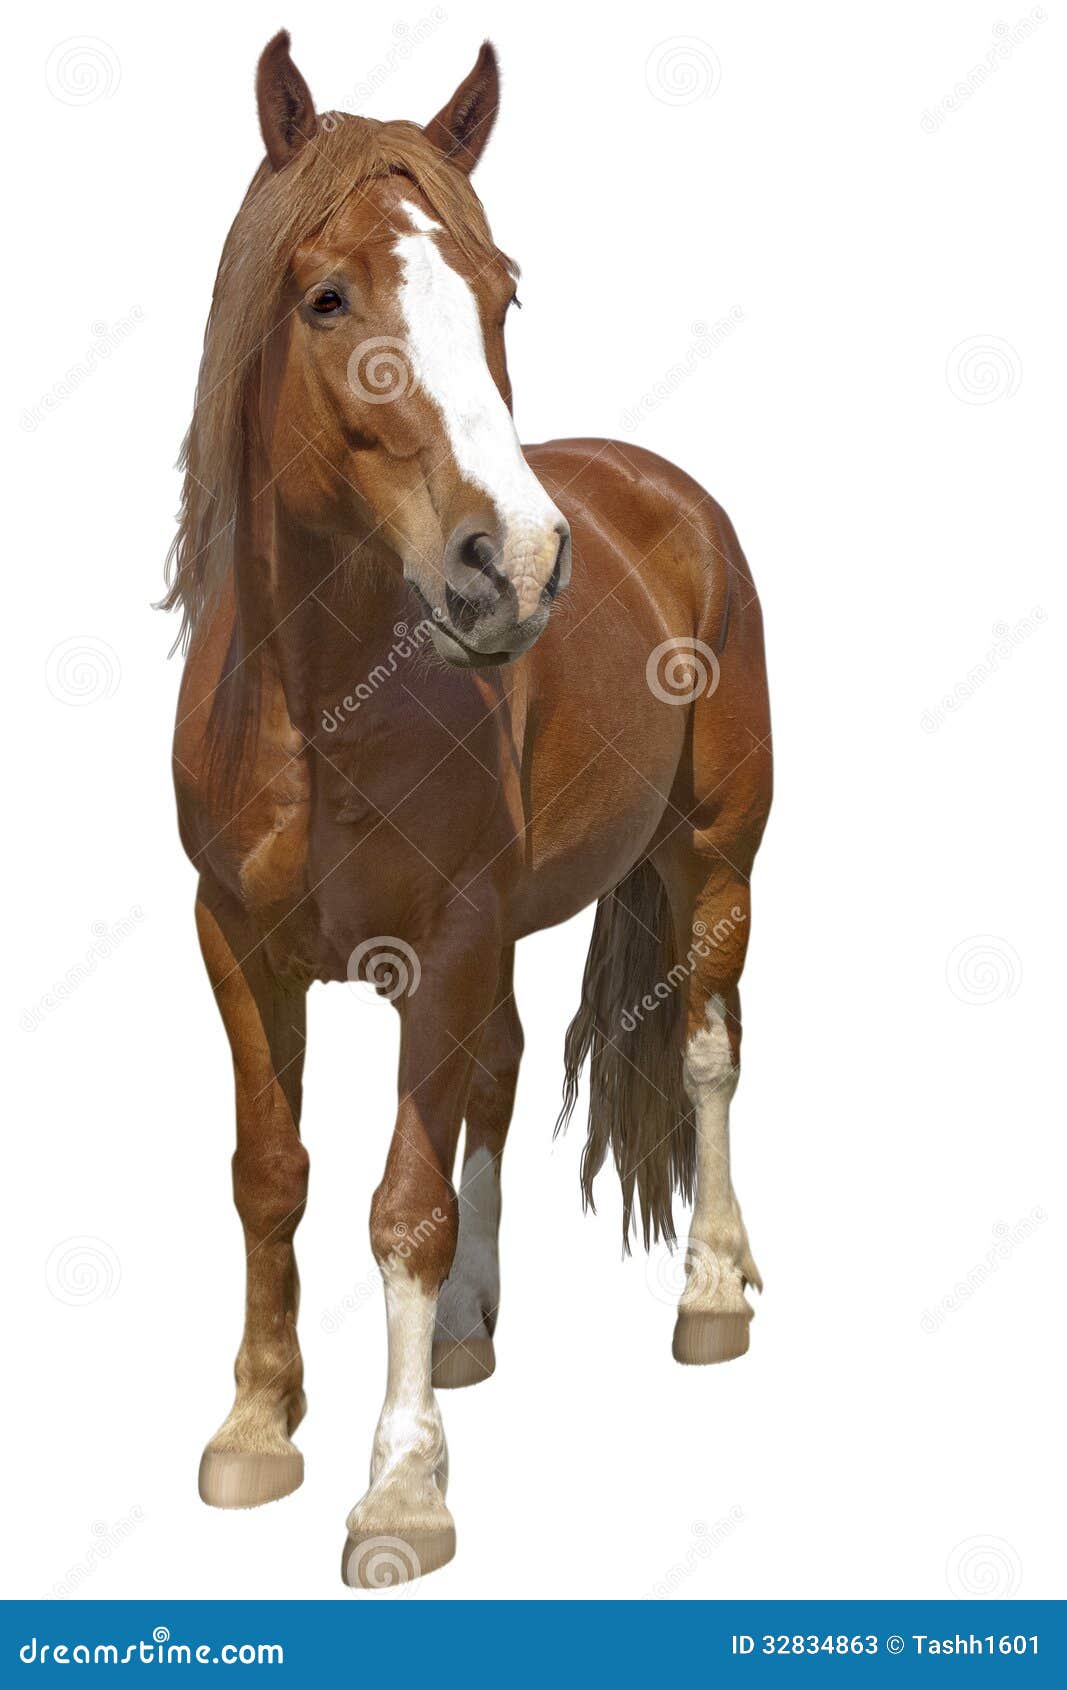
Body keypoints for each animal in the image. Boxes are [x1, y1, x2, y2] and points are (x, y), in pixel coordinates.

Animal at [167, 31, 772, 1588]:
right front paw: (255, 1423)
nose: (519, 566)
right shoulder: (237, 945)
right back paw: (463, 1336)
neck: (321, 707)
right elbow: (272, 1173)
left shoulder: (438, 942)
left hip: (711, 865)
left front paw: (399, 1490)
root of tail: (660, 492)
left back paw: (710, 1292)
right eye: (325, 297)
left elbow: (404, 1205)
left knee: (706, 1052)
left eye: (498, 293)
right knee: (492, 1078)